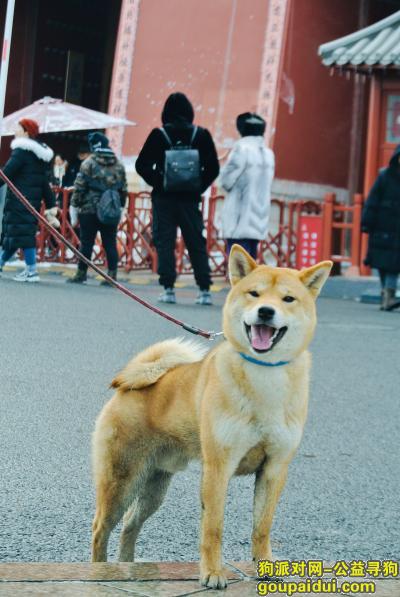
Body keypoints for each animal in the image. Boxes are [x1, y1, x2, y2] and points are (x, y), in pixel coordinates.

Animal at [92, 244, 332, 588]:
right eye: (254, 294)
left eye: (288, 299)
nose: (266, 312)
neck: (264, 380)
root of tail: (129, 384)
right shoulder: (219, 467)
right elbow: (213, 527)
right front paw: (213, 573)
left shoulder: (274, 468)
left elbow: (262, 527)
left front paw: (265, 567)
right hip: (121, 481)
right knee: (101, 528)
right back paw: (99, 571)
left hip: (154, 487)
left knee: (129, 525)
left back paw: (128, 567)